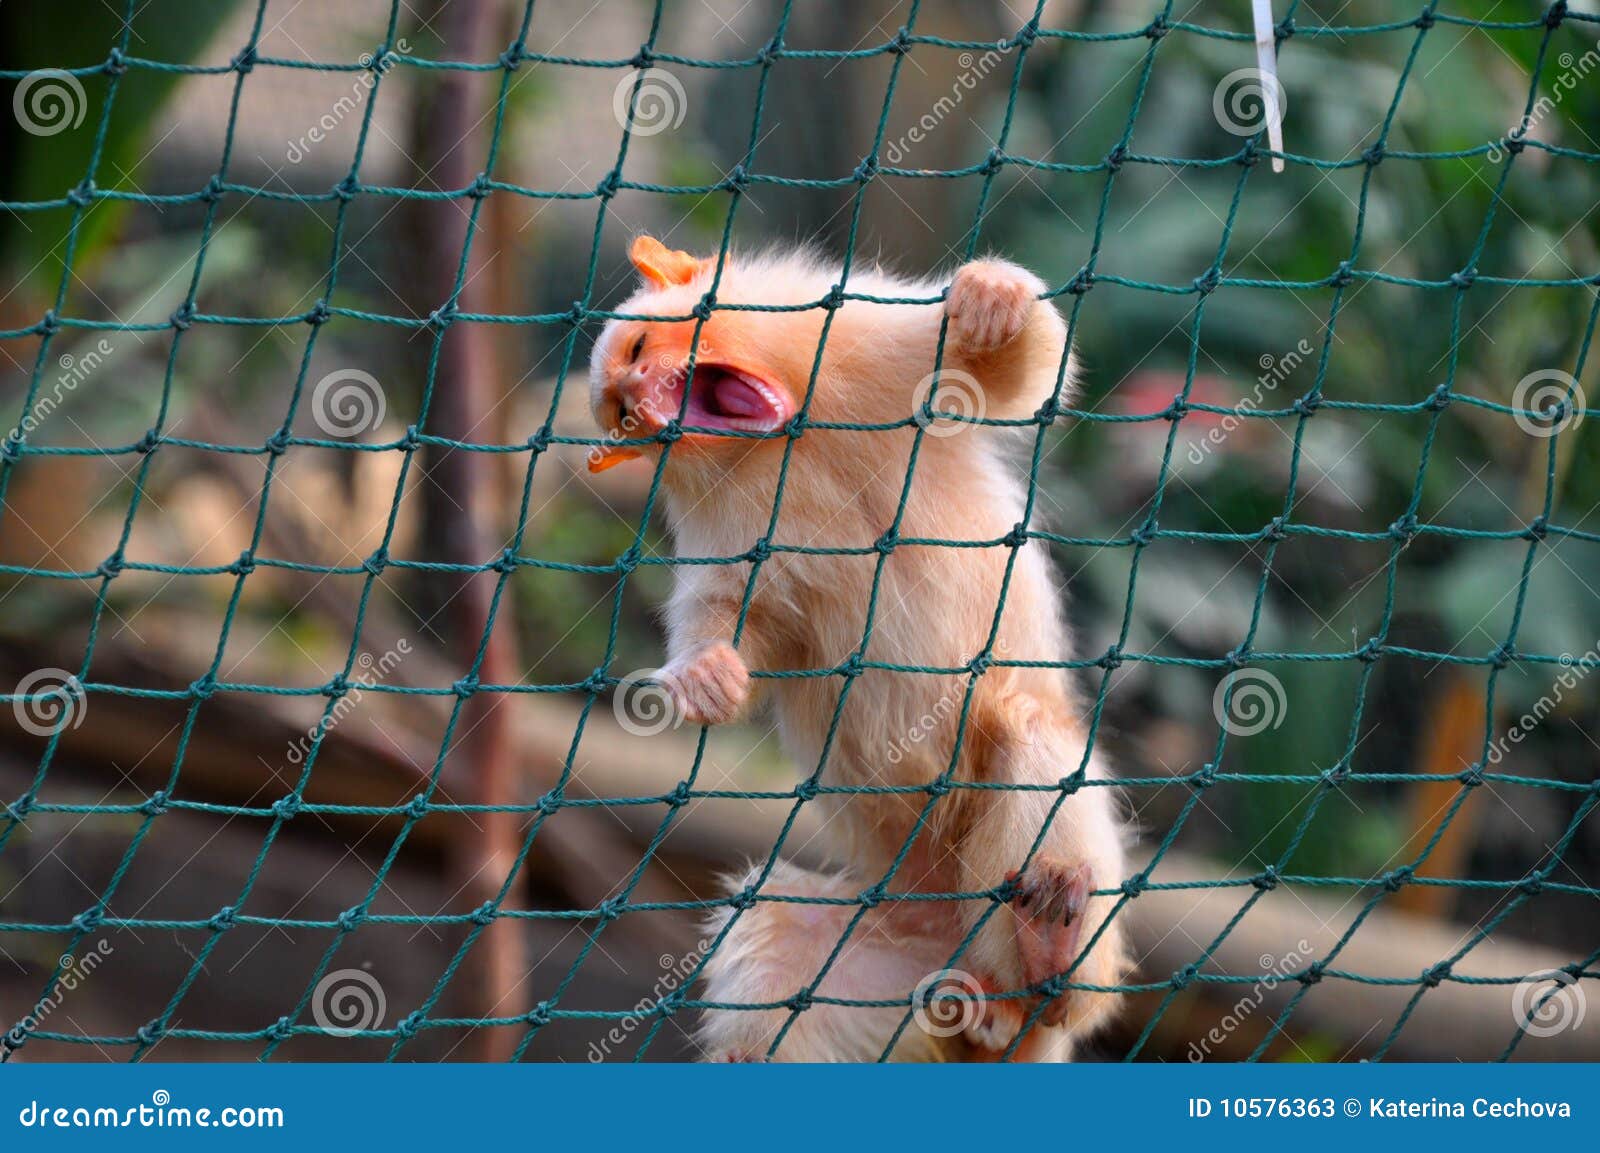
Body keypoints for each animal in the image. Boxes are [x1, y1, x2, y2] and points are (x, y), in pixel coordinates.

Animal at [587, 235, 1131, 1061]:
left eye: (642, 351)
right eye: (622, 414)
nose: (642, 398)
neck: (795, 441)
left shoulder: (877, 349)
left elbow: (1022, 369)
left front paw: (992, 299)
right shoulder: (726, 525)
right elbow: (726, 611)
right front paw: (707, 678)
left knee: (1030, 740)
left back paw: (1042, 966)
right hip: (880, 959)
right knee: (775, 939)